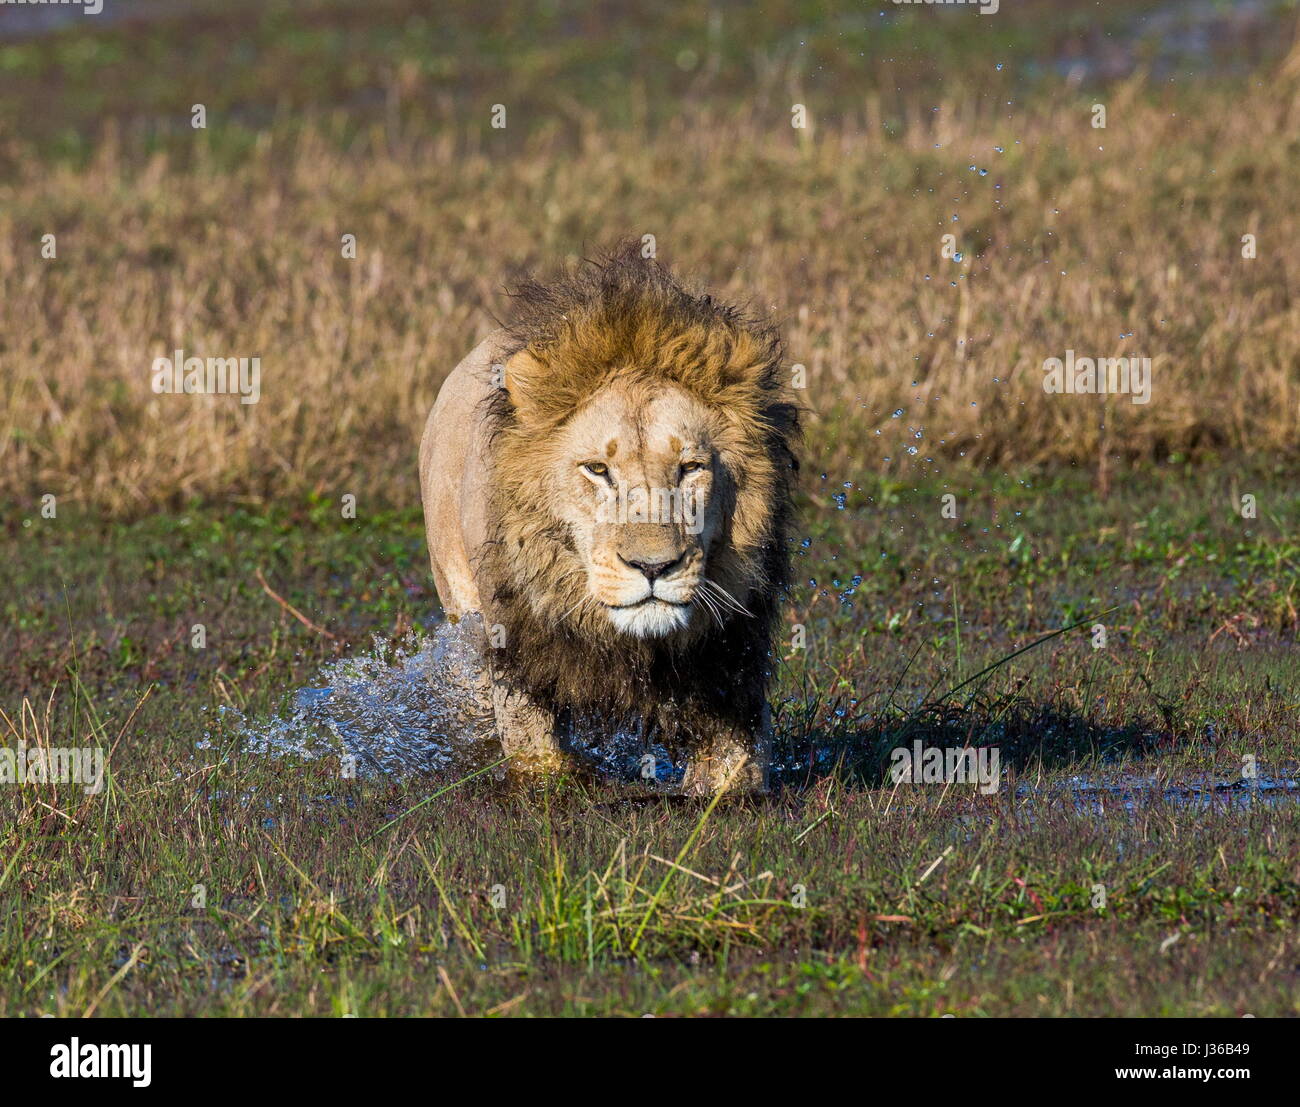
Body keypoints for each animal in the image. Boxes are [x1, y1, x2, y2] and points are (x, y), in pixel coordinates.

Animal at [418, 245, 799, 794]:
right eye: (598, 470)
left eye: (690, 468)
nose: (654, 568)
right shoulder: (517, 644)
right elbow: (536, 755)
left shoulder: (730, 659)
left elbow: (735, 767)